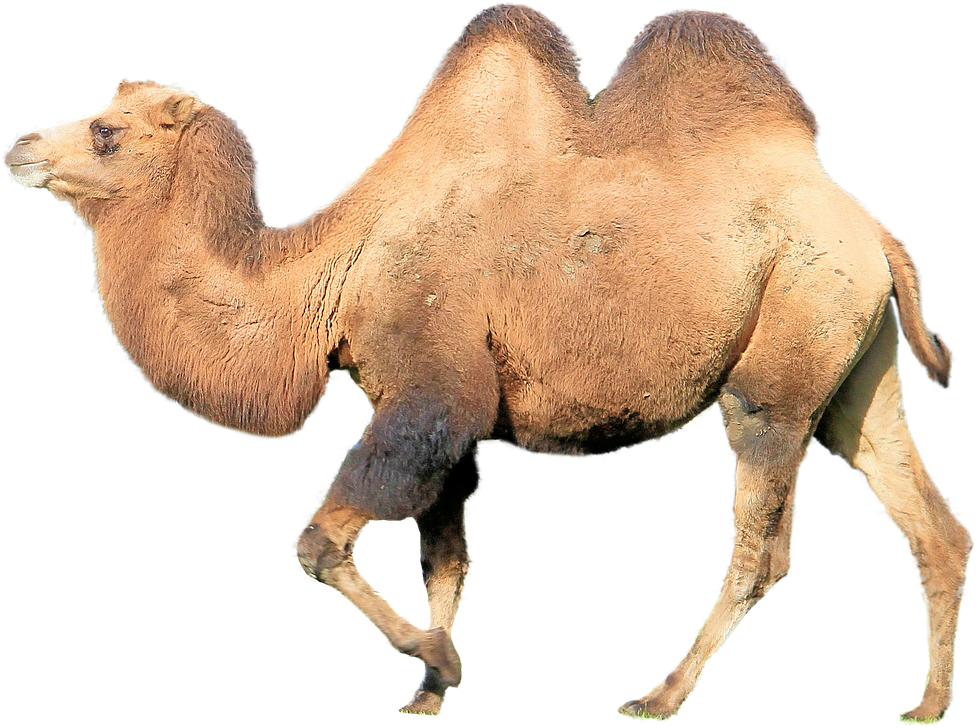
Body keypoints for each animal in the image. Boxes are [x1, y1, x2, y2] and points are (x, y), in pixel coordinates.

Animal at [4, 4, 972, 722]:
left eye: (107, 132)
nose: (19, 147)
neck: (331, 271)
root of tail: (876, 229)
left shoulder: (431, 392)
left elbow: (323, 542)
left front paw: (436, 660)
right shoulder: (445, 415)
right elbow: (444, 556)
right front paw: (429, 689)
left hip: (784, 348)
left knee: (762, 540)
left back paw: (659, 695)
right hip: (856, 361)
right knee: (923, 512)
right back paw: (928, 704)